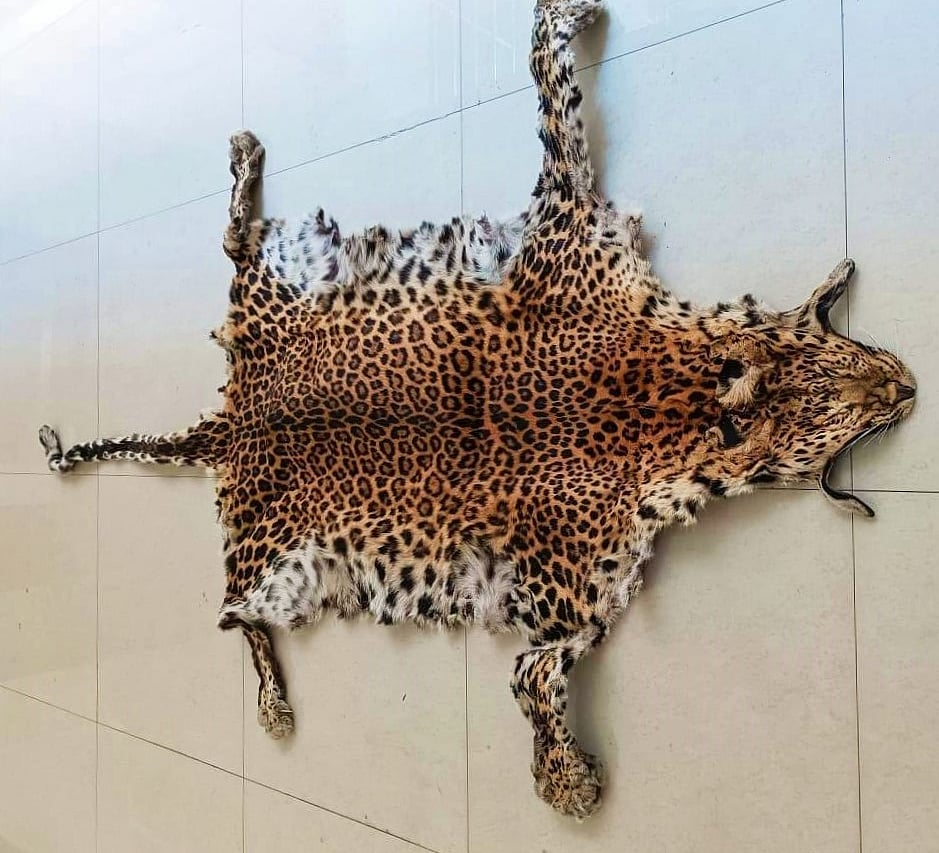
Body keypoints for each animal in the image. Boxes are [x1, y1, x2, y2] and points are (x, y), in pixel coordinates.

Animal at [38, 0, 915, 820]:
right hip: (274, 543)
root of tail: (228, 422)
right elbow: (548, 76)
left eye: (843, 377)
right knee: (230, 607)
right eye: (834, 412)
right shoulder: (566, 201)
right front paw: (571, 786)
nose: (905, 386)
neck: (668, 393)